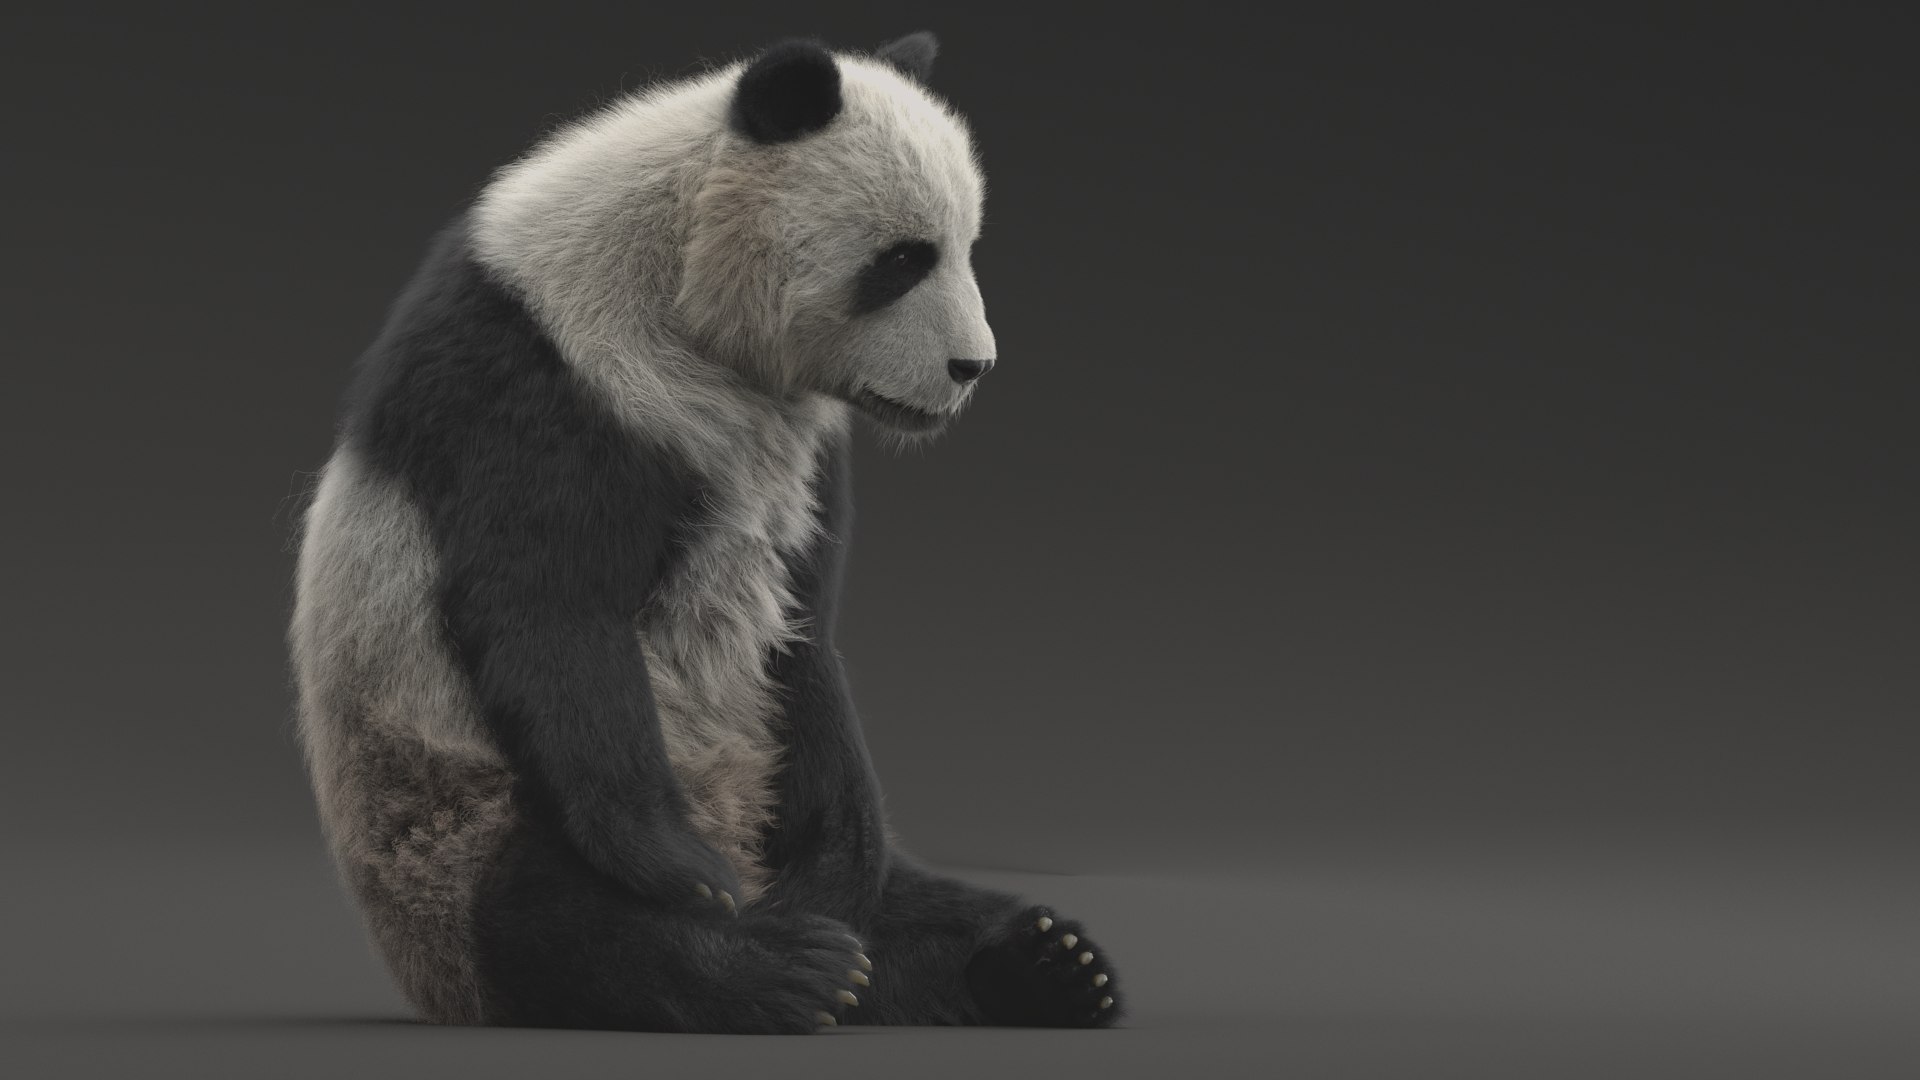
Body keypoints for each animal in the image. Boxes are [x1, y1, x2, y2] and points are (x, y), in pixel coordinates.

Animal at [290, 33, 1122, 1033]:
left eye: (964, 248)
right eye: (903, 260)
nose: (972, 367)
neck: (682, 291)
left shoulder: (803, 450)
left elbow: (800, 640)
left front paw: (844, 863)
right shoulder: (539, 376)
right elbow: (548, 611)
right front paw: (681, 868)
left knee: (917, 912)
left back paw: (1038, 963)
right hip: (446, 820)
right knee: (553, 921)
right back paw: (783, 966)